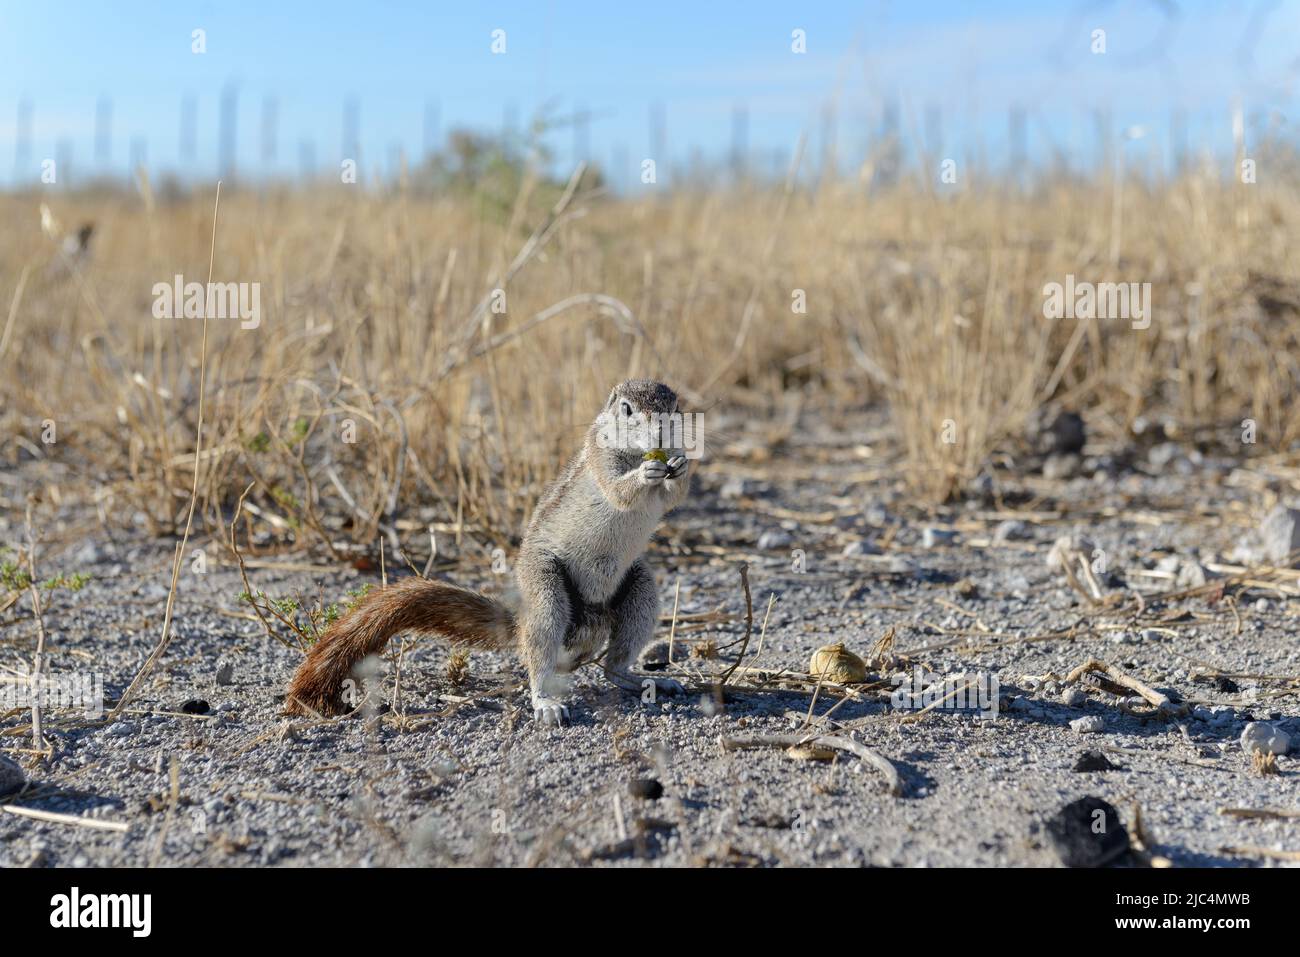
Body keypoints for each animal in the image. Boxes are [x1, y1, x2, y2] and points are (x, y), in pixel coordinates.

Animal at [286, 379, 693, 725]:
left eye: (675, 406)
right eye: (627, 409)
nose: (662, 433)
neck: (635, 453)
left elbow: (674, 497)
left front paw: (680, 465)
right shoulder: (599, 457)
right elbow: (617, 490)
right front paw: (645, 474)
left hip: (640, 588)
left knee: (613, 666)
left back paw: (646, 681)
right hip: (545, 588)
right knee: (541, 654)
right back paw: (545, 701)